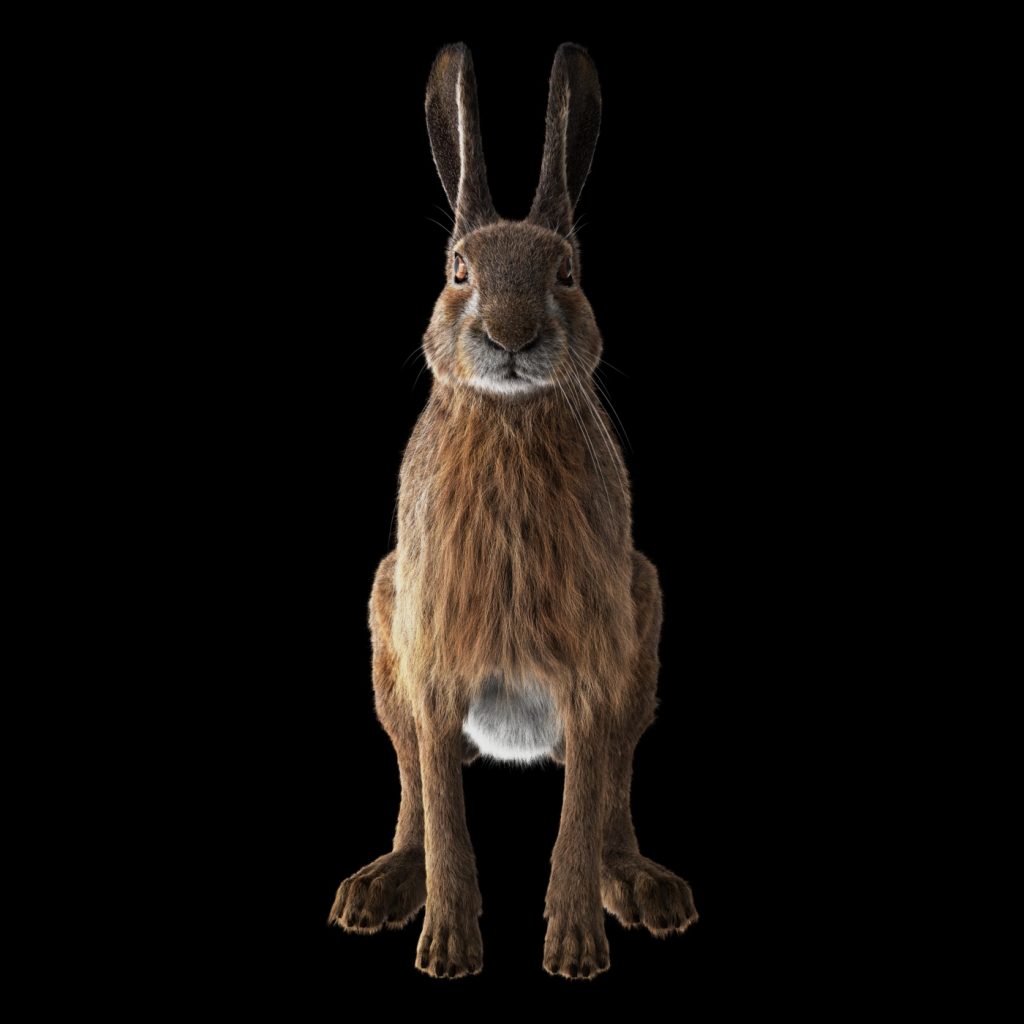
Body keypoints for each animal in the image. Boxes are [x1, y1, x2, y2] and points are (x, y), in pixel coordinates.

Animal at [327, 41, 698, 980]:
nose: (511, 333)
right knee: (416, 791)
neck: (511, 419)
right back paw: (378, 890)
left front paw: (573, 950)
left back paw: (640, 888)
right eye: (458, 270)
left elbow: (576, 817)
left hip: (641, 639)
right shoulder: (432, 668)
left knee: (611, 796)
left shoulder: (594, 674)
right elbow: (447, 817)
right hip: (387, 638)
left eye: (567, 272)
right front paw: (448, 951)